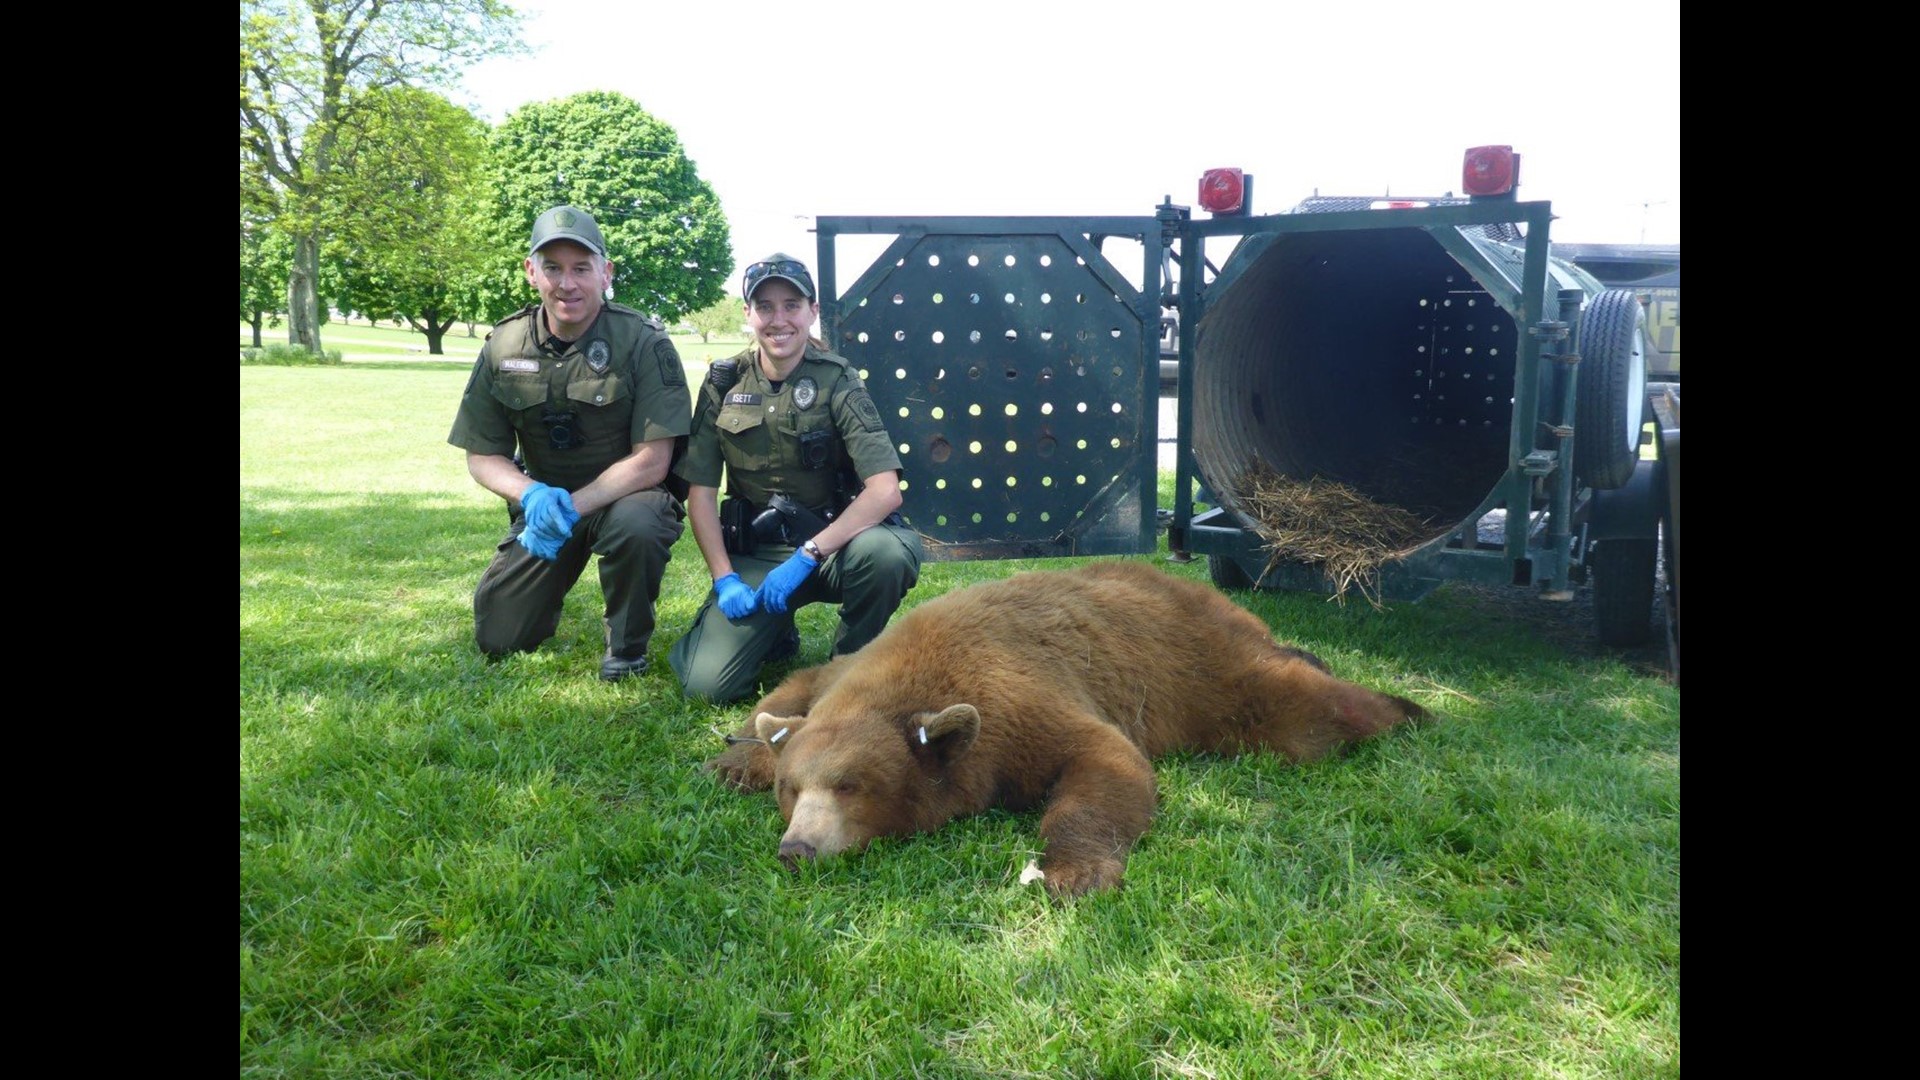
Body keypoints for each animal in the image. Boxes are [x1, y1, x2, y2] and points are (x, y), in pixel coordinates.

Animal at [704, 560, 1427, 898]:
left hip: (1201, 666)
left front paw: (1069, 872)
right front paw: (738, 758)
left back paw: (1407, 710)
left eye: (851, 786)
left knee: (1305, 711)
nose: (798, 849)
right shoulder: (847, 672)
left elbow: (1106, 759)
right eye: (793, 791)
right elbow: (799, 683)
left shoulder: (1015, 697)